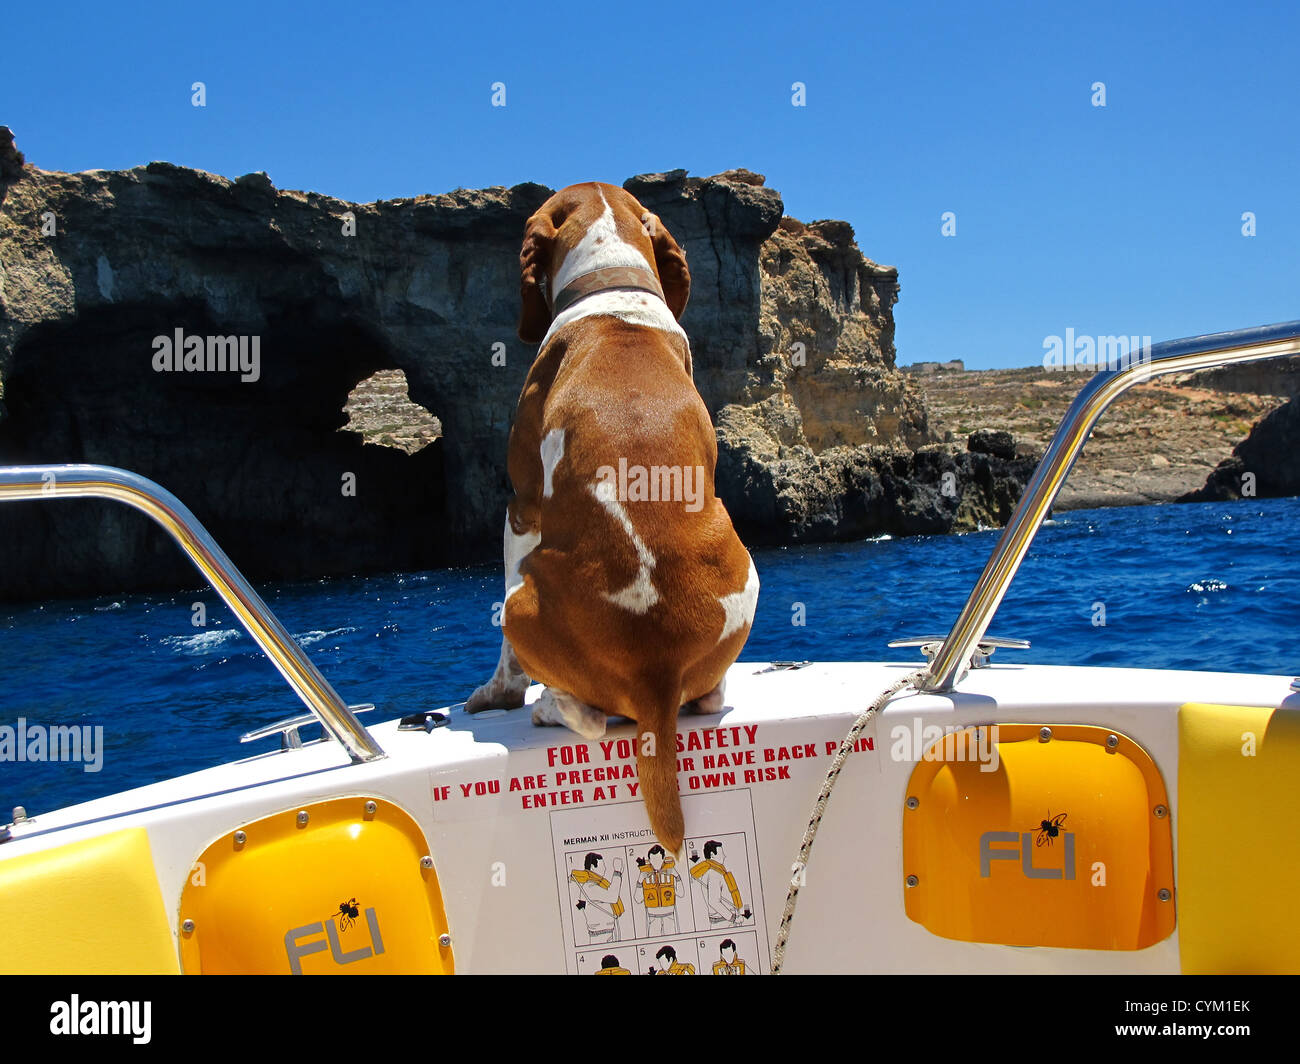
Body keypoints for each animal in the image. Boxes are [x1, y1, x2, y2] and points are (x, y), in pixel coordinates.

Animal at [465, 178, 759, 848]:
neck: (612, 291)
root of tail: (657, 670)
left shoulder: (520, 507)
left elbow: (504, 659)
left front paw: (497, 694)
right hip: (747, 568)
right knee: (706, 700)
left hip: (522, 599)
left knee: (590, 719)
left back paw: (549, 706)